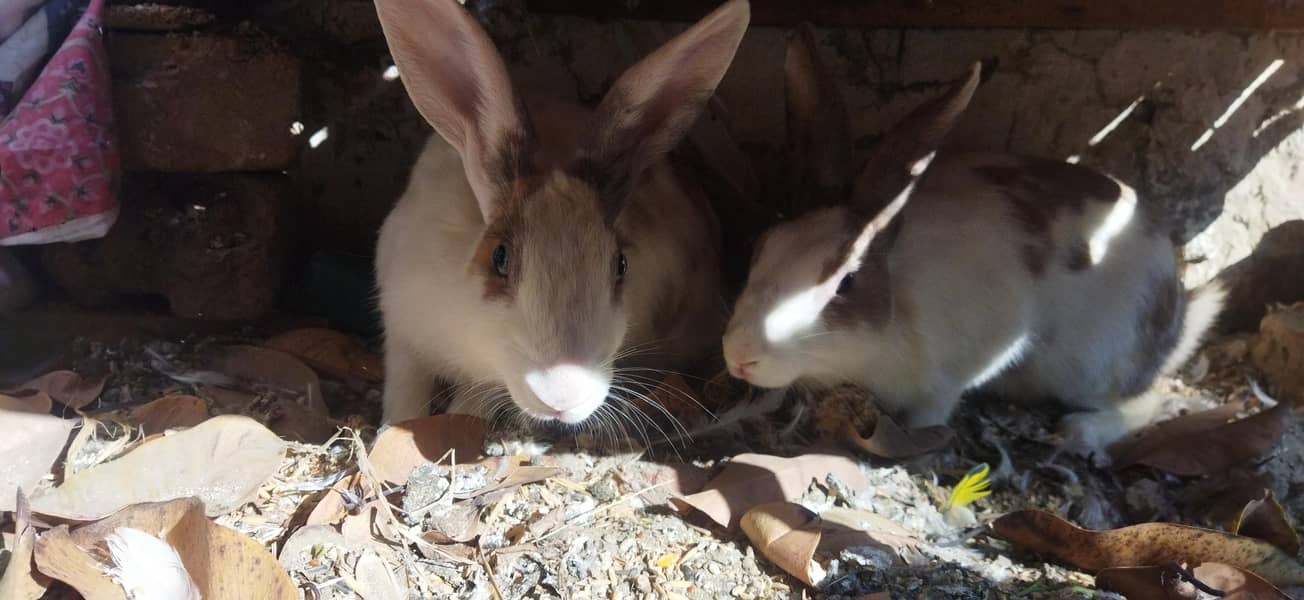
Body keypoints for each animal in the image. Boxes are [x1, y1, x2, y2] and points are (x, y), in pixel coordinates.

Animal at [372, 0, 750, 426]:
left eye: (621, 264)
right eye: (500, 257)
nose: (562, 399)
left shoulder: (483, 382)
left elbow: (469, 405)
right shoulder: (401, 334)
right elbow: (405, 395)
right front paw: (390, 431)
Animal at [721, 25, 1226, 455]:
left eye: (846, 283)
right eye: (763, 246)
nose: (741, 355)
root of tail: (1178, 312)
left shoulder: (963, 363)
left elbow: (934, 407)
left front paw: (916, 435)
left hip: (1092, 365)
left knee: (1147, 400)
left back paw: (1079, 432)